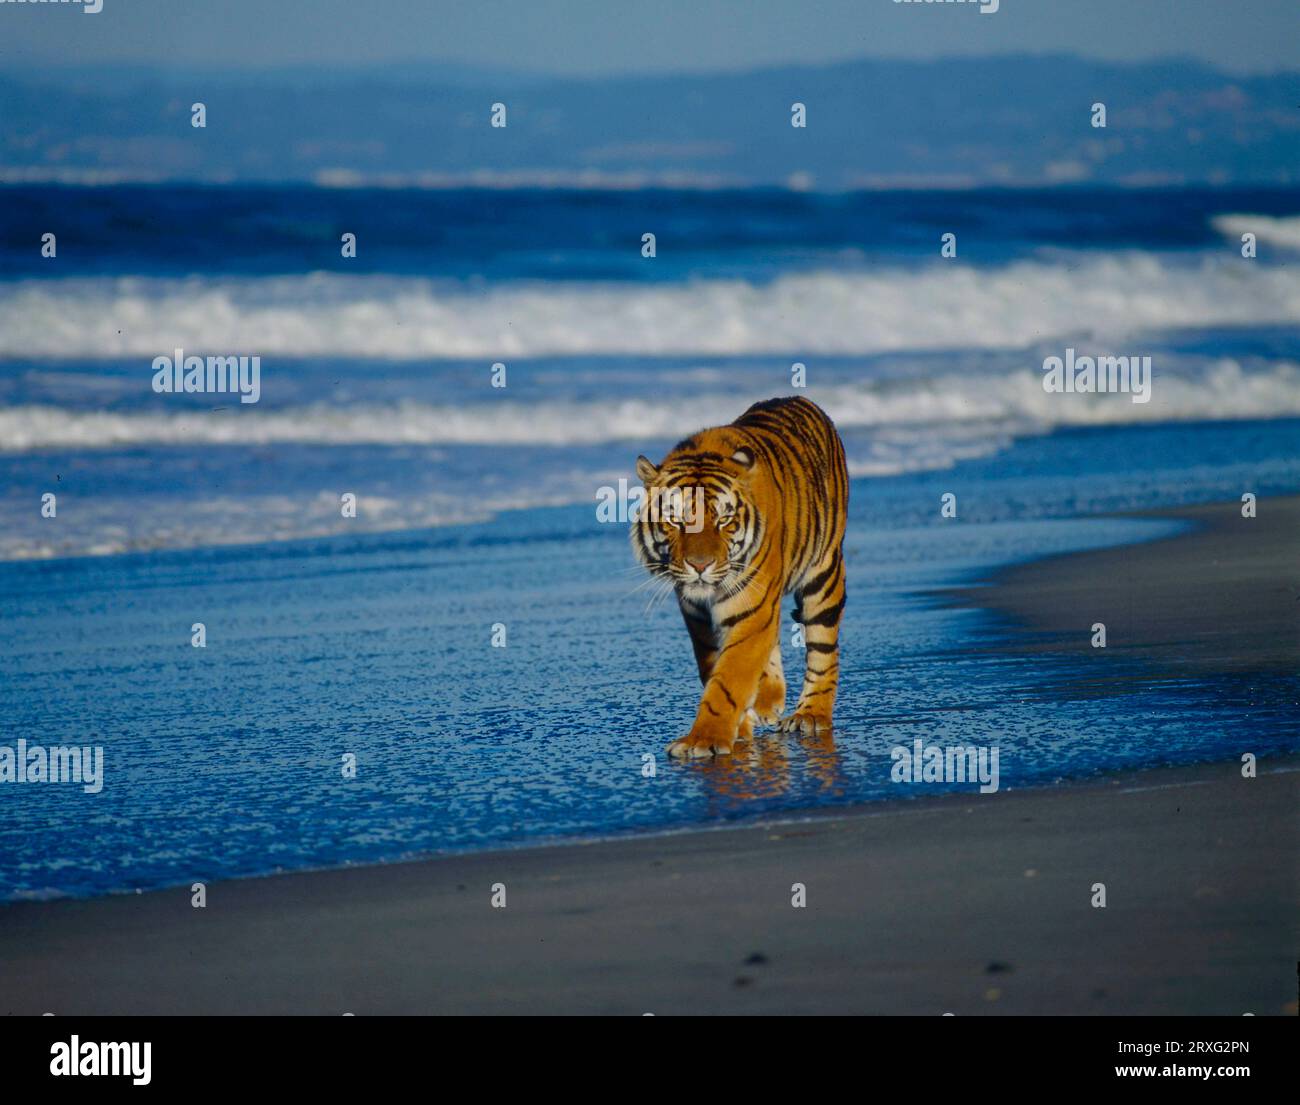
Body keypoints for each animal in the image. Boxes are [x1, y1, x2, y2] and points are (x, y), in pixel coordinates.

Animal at [632, 395, 848, 758]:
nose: (700, 565)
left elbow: (729, 678)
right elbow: (716, 671)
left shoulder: (750, 607)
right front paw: (739, 729)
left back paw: (810, 715)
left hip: (824, 574)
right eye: (675, 520)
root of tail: (801, 399)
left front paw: (703, 739)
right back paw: (767, 702)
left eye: (724, 520)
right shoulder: (699, 619)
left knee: (823, 651)